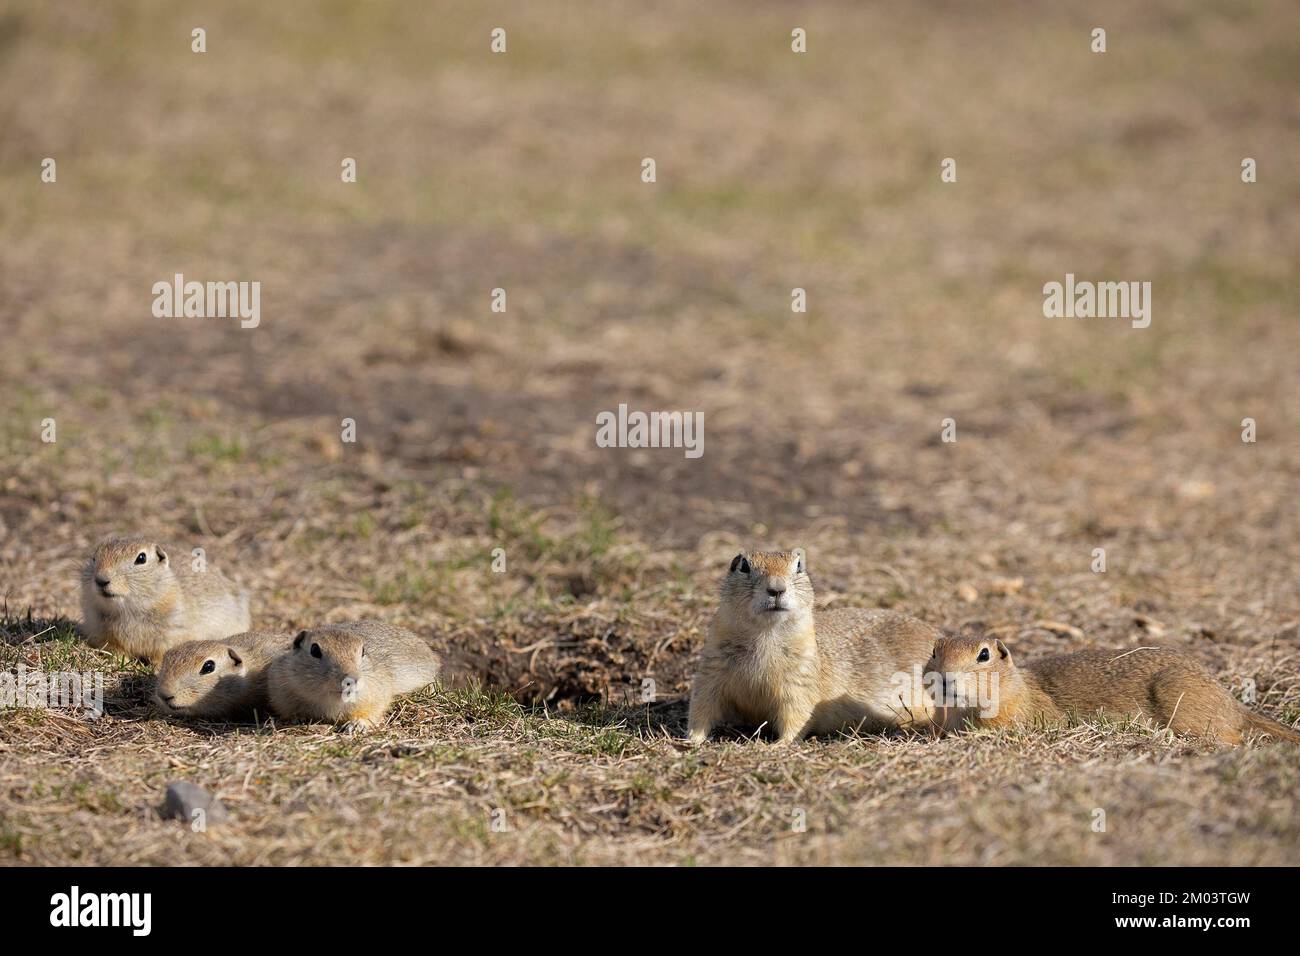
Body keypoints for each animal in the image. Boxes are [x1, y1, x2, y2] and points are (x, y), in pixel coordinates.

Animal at [80, 535, 252, 665]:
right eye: (94, 558)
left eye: (141, 558)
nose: (101, 580)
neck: (130, 610)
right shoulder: (103, 633)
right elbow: (115, 650)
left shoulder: (172, 635)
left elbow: (162, 654)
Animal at [266, 620, 441, 732]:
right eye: (314, 650)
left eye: (363, 651)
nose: (352, 679)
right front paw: (298, 718)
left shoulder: (378, 693)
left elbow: (373, 711)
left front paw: (356, 725)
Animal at [687, 549, 940, 744]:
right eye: (743, 566)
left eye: (798, 566)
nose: (777, 589)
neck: (765, 635)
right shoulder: (713, 665)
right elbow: (702, 704)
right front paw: (692, 739)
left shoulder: (801, 674)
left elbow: (797, 712)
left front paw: (778, 745)